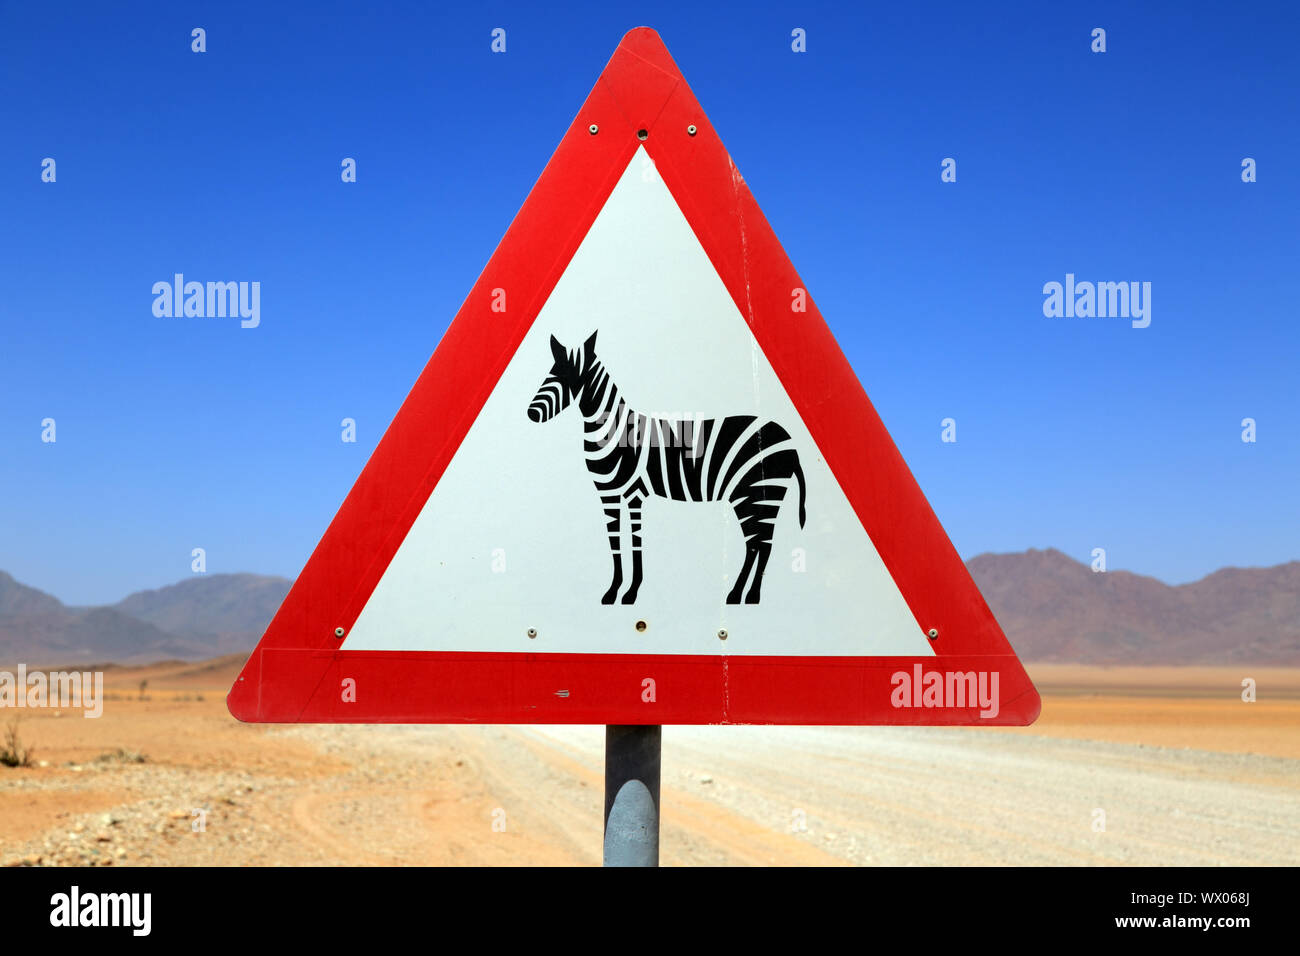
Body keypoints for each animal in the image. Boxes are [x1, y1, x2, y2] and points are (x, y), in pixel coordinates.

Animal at [527, 331, 807, 605]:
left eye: (563, 377)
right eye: (550, 373)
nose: (530, 414)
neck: (613, 432)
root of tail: (790, 440)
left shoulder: (634, 493)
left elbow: (635, 541)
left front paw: (631, 592)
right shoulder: (608, 495)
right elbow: (615, 542)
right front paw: (613, 591)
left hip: (756, 492)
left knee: (760, 543)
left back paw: (745, 595)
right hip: (757, 496)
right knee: (760, 542)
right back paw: (744, 594)